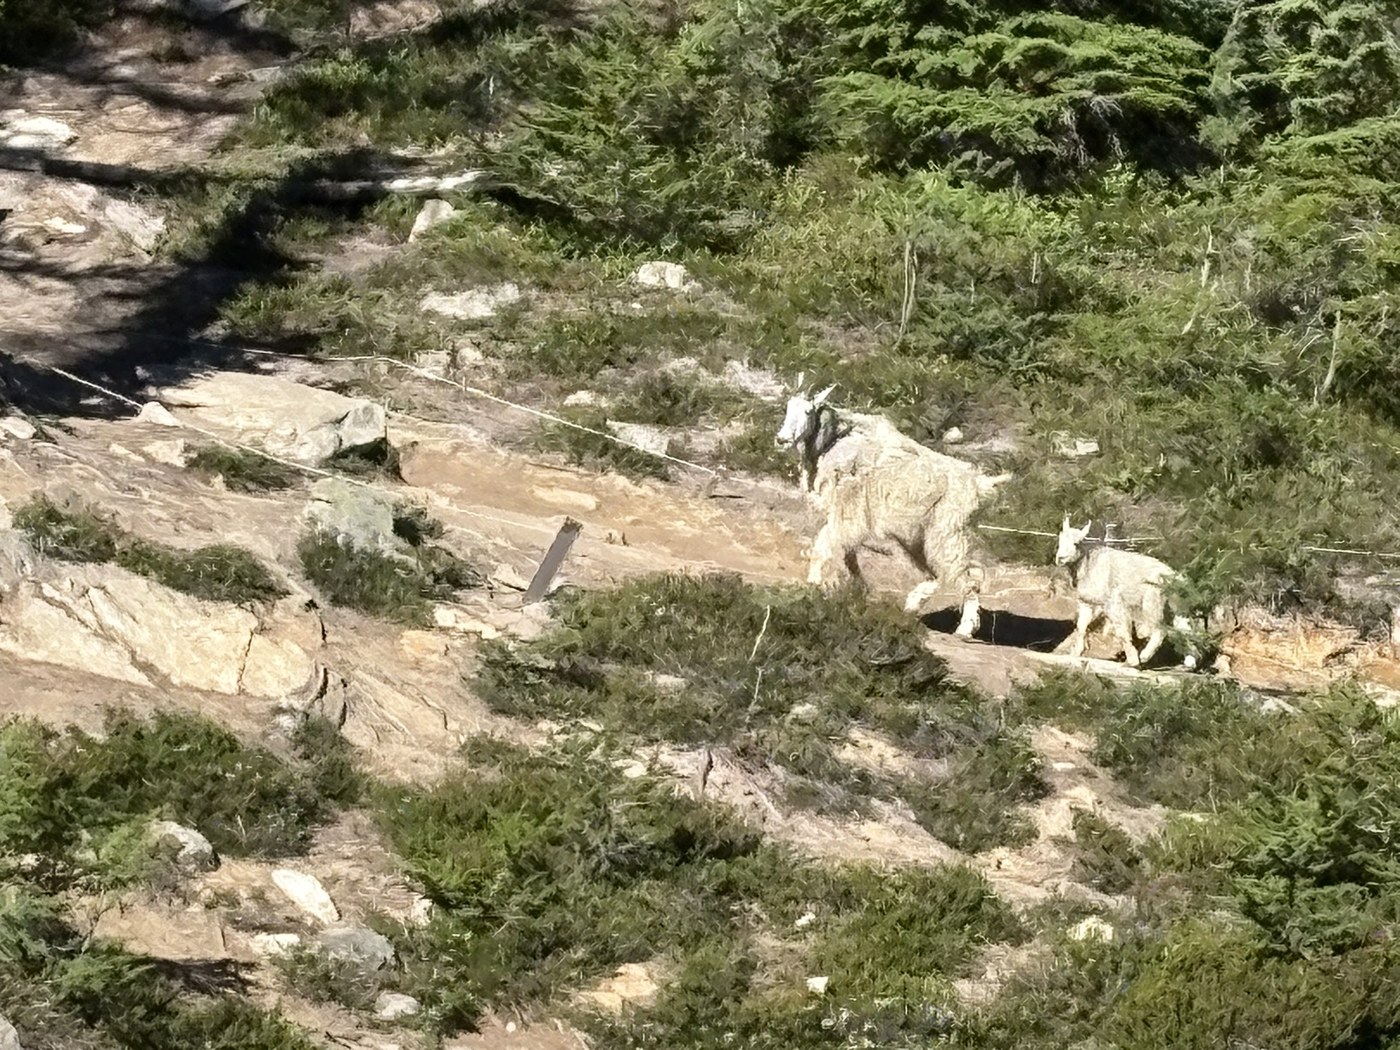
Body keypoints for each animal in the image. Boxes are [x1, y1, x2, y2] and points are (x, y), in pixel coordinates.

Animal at [776, 382, 1011, 637]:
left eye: (808, 411)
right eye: (787, 407)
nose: (781, 439)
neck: (834, 442)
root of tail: (979, 484)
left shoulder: (848, 509)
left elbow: (824, 545)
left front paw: (815, 584)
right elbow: (847, 555)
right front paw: (858, 590)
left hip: (947, 531)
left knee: (966, 574)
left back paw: (964, 628)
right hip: (920, 537)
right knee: (945, 572)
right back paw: (914, 605)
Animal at [1054, 516, 1196, 669]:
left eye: (1076, 543)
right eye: (1060, 539)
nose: (1060, 558)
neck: (1089, 564)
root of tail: (1176, 578)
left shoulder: (1113, 601)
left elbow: (1121, 630)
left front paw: (1133, 660)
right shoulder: (1086, 602)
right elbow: (1081, 626)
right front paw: (1076, 653)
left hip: (1153, 599)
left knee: (1160, 629)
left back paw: (1144, 656)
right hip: (1176, 604)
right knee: (1185, 628)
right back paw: (1190, 662)